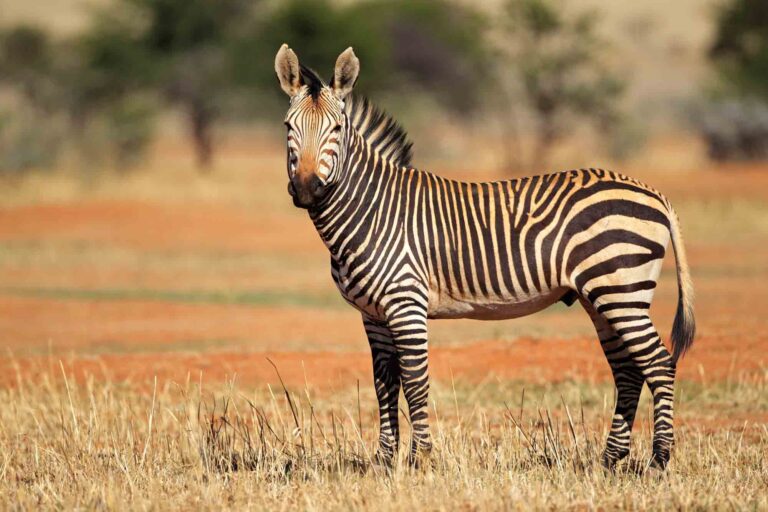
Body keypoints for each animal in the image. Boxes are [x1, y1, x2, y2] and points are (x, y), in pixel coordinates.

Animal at [274, 44, 695, 470]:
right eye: (288, 128)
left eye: (336, 130)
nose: (307, 189)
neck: (372, 210)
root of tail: (654, 193)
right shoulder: (372, 314)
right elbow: (385, 384)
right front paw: (384, 460)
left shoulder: (406, 304)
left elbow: (415, 381)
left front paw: (421, 459)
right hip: (602, 299)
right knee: (628, 371)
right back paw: (610, 460)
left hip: (622, 291)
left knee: (658, 363)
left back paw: (659, 459)